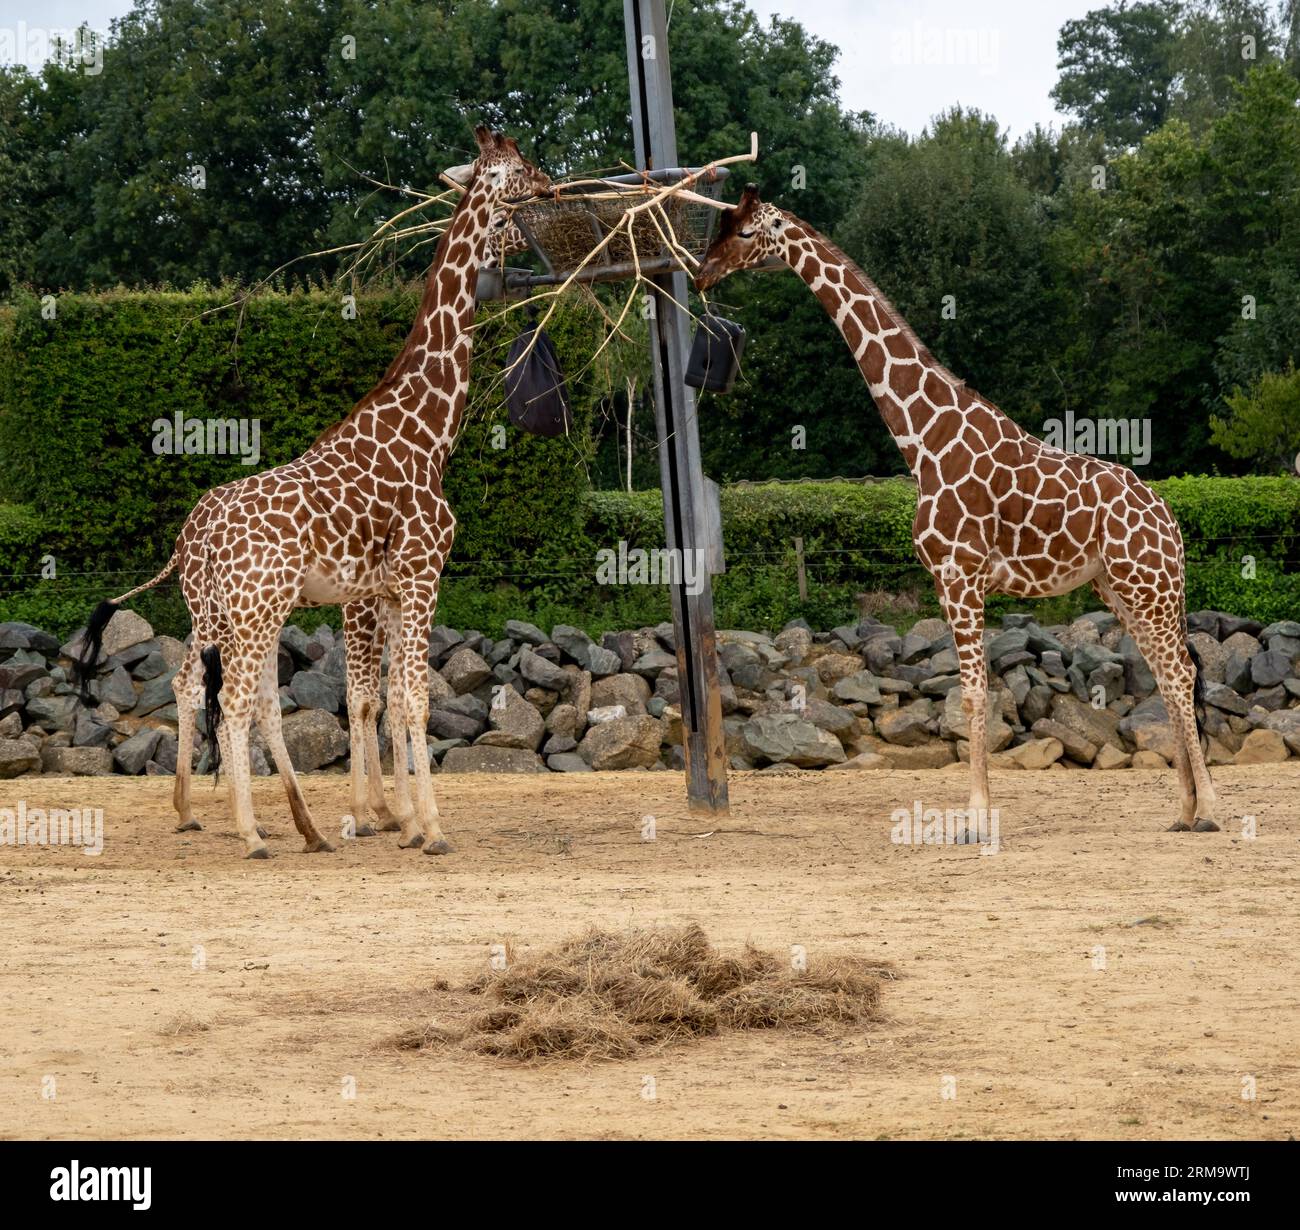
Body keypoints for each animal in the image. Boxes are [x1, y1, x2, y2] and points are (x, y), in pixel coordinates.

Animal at [77, 127, 551, 857]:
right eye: (522, 170)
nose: (553, 191)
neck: (429, 430)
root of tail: (193, 540)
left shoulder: (386, 590)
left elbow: (385, 697)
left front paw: (399, 820)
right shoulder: (421, 577)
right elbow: (409, 698)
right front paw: (427, 828)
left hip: (230, 612)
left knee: (214, 689)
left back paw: (267, 821)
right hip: (257, 610)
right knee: (235, 700)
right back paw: (253, 831)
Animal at [695, 186, 1219, 834]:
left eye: (745, 233)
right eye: (720, 226)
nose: (701, 273)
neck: (923, 438)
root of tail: (1168, 516)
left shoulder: (960, 575)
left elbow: (972, 695)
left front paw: (974, 819)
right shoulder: (949, 582)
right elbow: (966, 694)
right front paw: (977, 813)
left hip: (1149, 584)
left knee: (1181, 673)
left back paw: (1211, 810)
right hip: (1122, 588)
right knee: (1168, 677)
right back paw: (1184, 811)